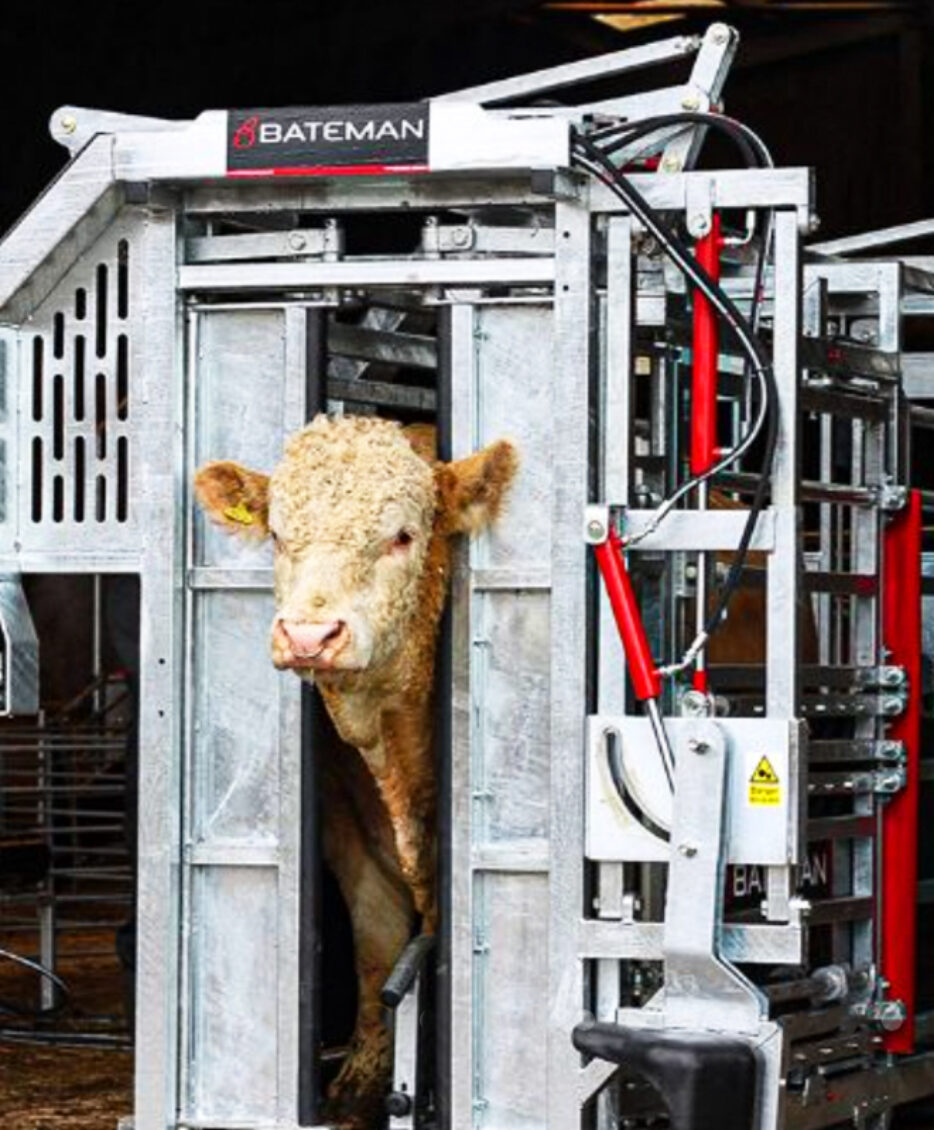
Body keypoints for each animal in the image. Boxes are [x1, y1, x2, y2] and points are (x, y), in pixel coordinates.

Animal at [194, 413, 518, 1127]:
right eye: (279, 535)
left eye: (402, 535)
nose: (309, 636)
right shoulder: (348, 829)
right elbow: (377, 952)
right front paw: (363, 1080)